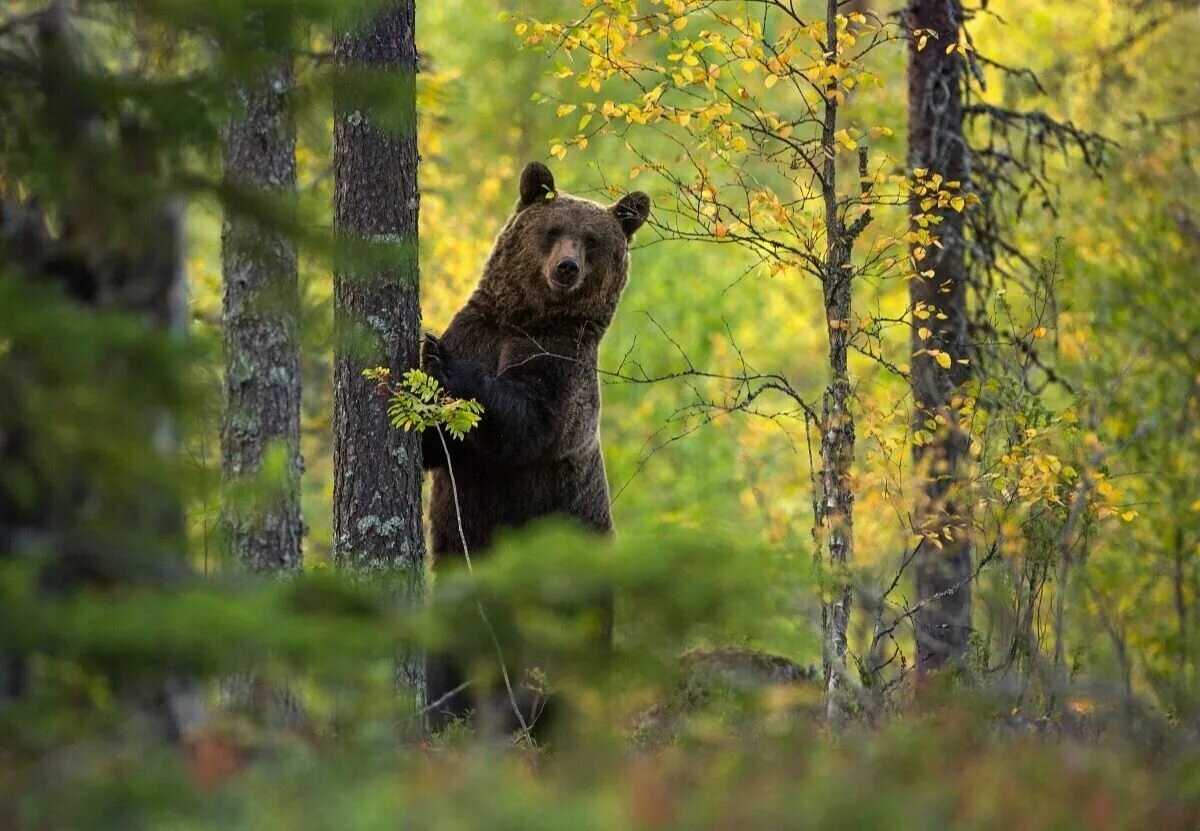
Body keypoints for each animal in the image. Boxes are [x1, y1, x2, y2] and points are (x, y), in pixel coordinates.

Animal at [420, 162, 648, 734]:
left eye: (591, 241)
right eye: (552, 230)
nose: (566, 268)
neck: (526, 320)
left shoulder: (563, 370)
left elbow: (529, 421)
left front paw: (442, 360)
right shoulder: (480, 328)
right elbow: (437, 449)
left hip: (569, 573)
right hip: (461, 576)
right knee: (449, 650)